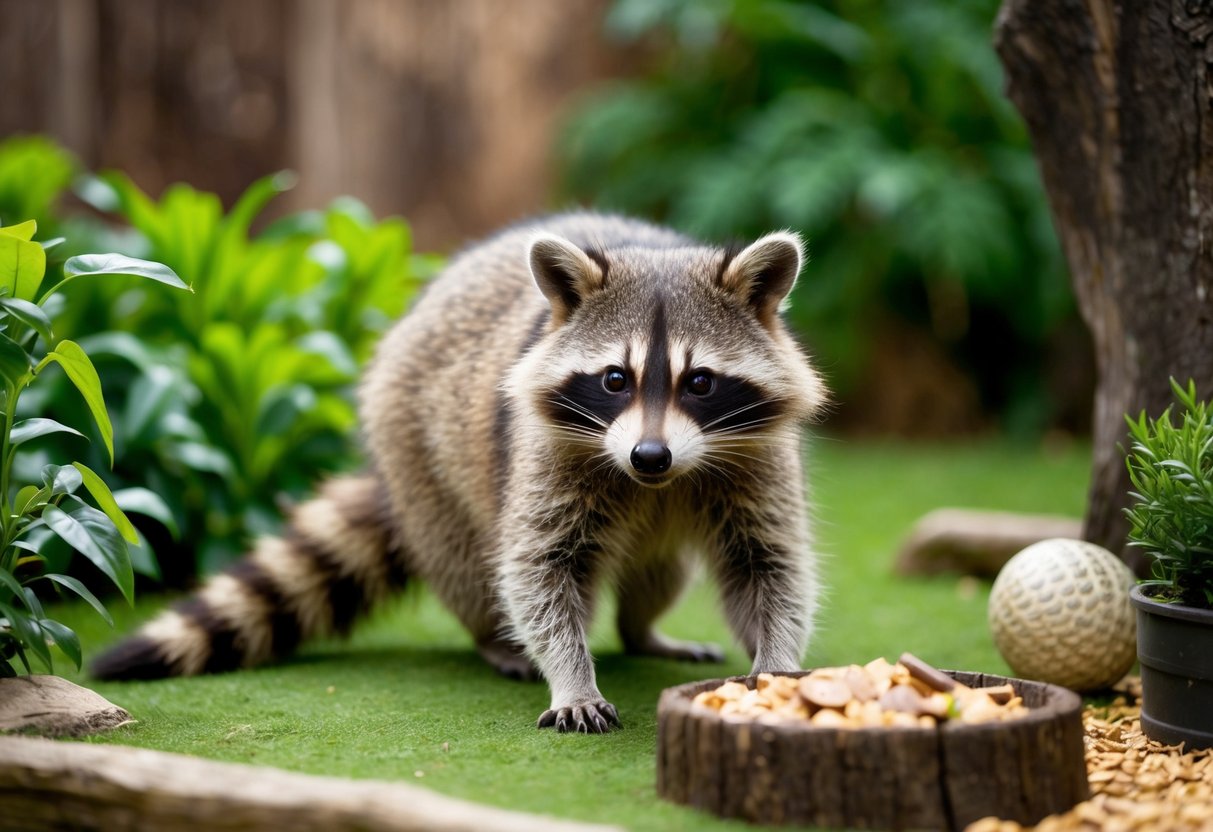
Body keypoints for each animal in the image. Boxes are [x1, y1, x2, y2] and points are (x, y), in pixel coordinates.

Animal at [92, 212, 828, 734]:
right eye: (614, 380)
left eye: (699, 382)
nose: (649, 457)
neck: (661, 479)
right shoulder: (545, 451)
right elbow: (539, 571)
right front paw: (572, 675)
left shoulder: (759, 458)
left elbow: (769, 566)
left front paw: (777, 664)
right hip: (415, 449)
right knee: (470, 563)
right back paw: (496, 638)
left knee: (659, 573)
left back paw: (642, 630)